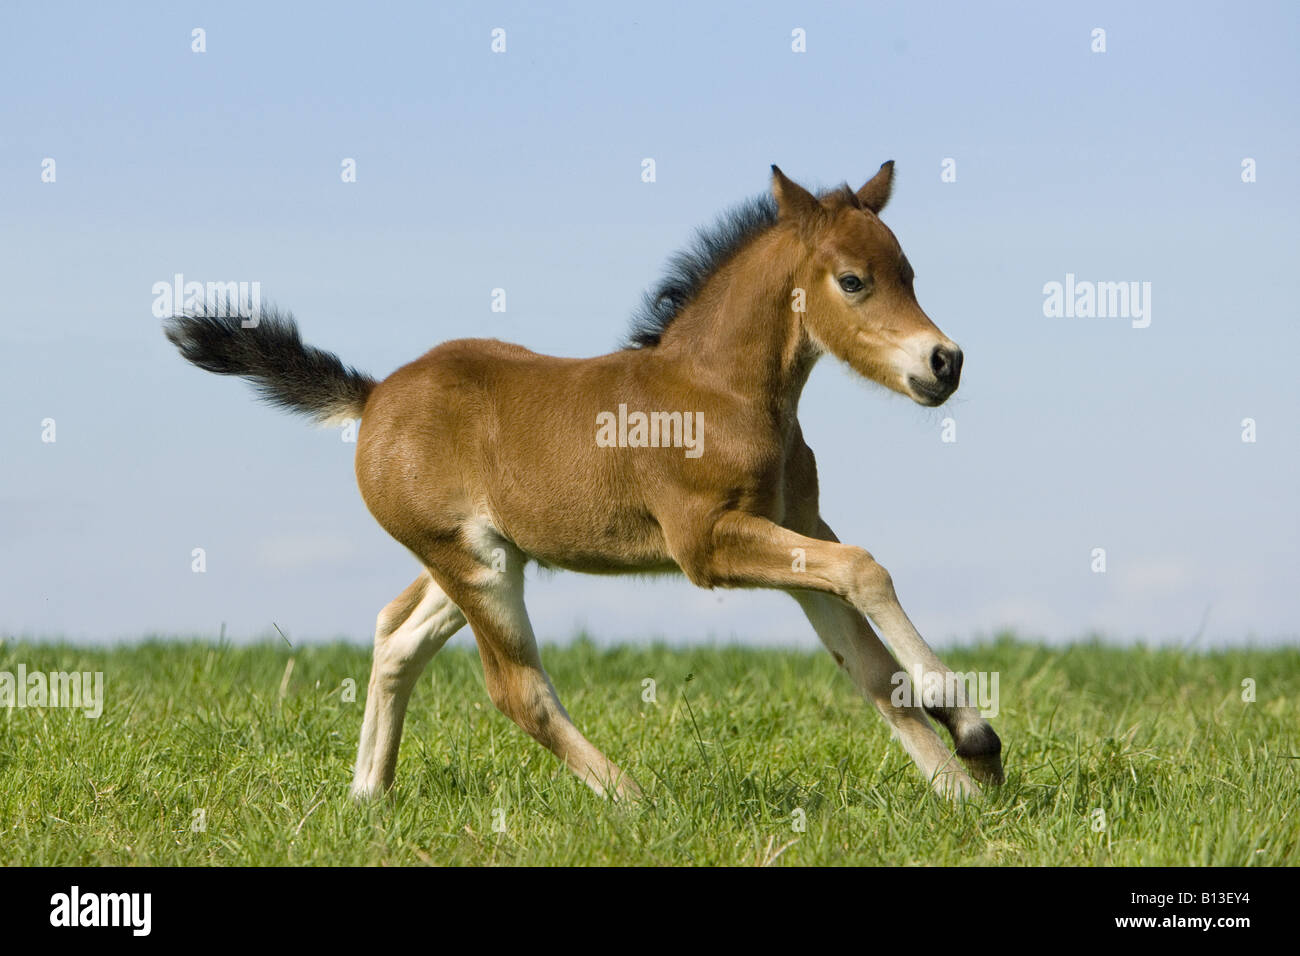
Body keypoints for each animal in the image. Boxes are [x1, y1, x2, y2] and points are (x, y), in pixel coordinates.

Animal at [164, 162, 1004, 802]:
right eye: (854, 280)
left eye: (910, 274)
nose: (945, 362)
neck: (717, 390)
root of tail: (372, 398)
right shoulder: (708, 545)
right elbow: (867, 570)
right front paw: (972, 733)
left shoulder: (796, 529)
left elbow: (865, 660)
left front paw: (963, 787)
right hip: (475, 564)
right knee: (516, 690)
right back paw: (633, 801)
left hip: (476, 558)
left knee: (395, 637)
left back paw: (367, 794)